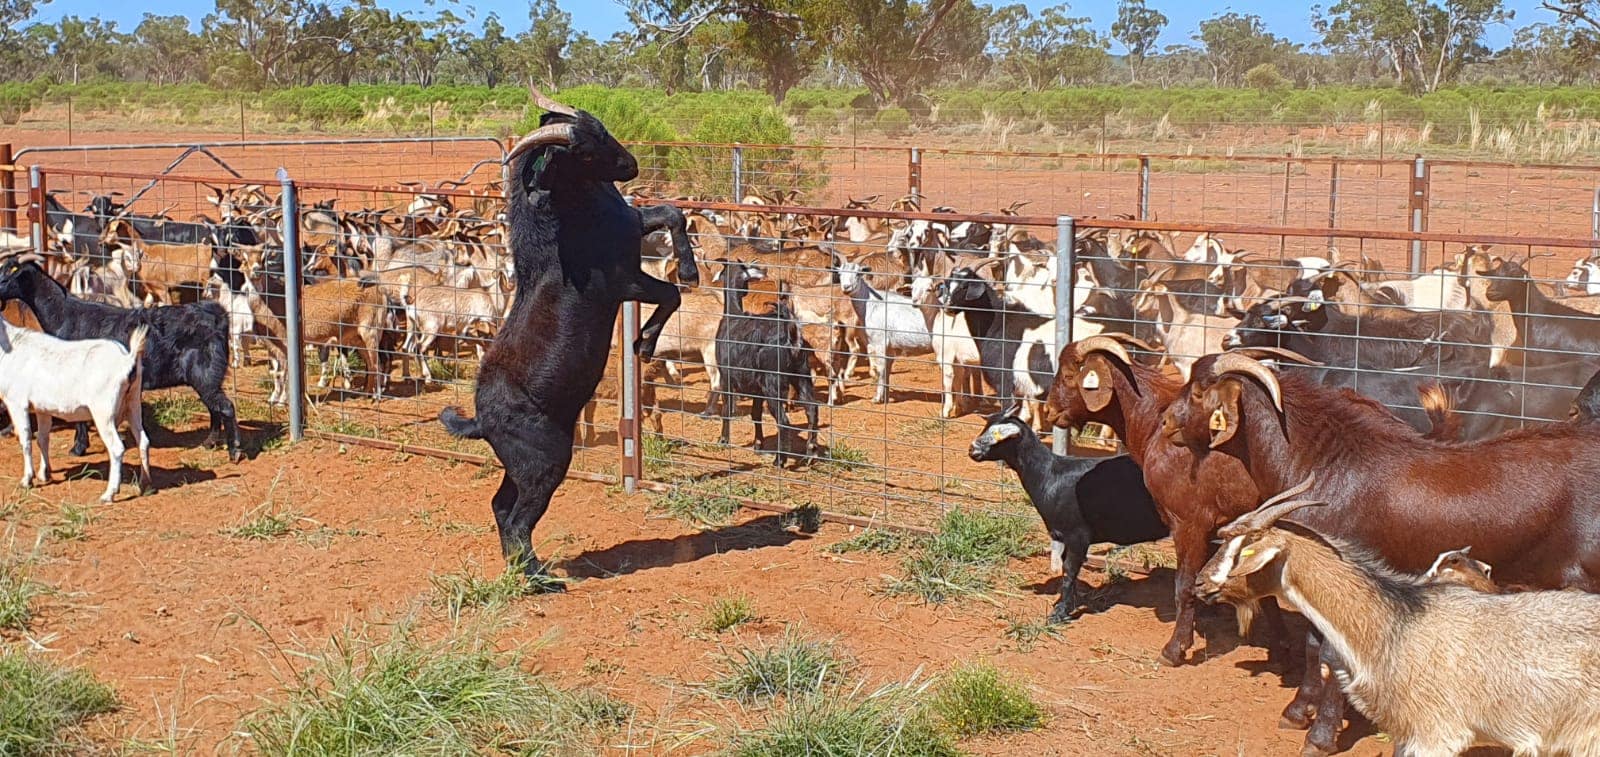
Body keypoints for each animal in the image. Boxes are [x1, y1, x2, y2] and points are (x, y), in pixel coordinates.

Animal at [0, 257, 242, 462]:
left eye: (4, 275)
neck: (65, 315)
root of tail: (217, 314)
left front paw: (78, 448)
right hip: (206, 380)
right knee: (215, 409)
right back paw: (209, 443)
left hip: (205, 376)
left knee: (226, 407)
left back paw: (235, 451)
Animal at [0, 320, 150, 503]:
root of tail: (127, 359)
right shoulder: (42, 408)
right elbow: (43, 439)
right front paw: (45, 474)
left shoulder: (17, 402)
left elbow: (26, 439)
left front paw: (27, 480)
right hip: (133, 403)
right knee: (143, 441)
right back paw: (144, 484)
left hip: (103, 411)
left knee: (116, 448)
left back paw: (109, 494)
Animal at [437, 88, 698, 580]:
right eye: (582, 152)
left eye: (601, 127)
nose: (630, 165)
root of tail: (481, 420)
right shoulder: (622, 281)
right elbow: (670, 293)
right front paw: (645, 342)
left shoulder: (633, 224)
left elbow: (671, 214)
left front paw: (690, 268)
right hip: (546, 462)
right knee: (518, 517)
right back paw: (539, 578)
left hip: (520, 465)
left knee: (501, 506)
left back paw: (523, 570)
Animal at [969, 410, 1168, 624]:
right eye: (985, 427)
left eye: (1000, 436)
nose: (973, 450)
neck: (1050, 476)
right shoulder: (1065, 537)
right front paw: (1067, 604)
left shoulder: (1077, 536)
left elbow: (1069, 572)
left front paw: (1059, 613)